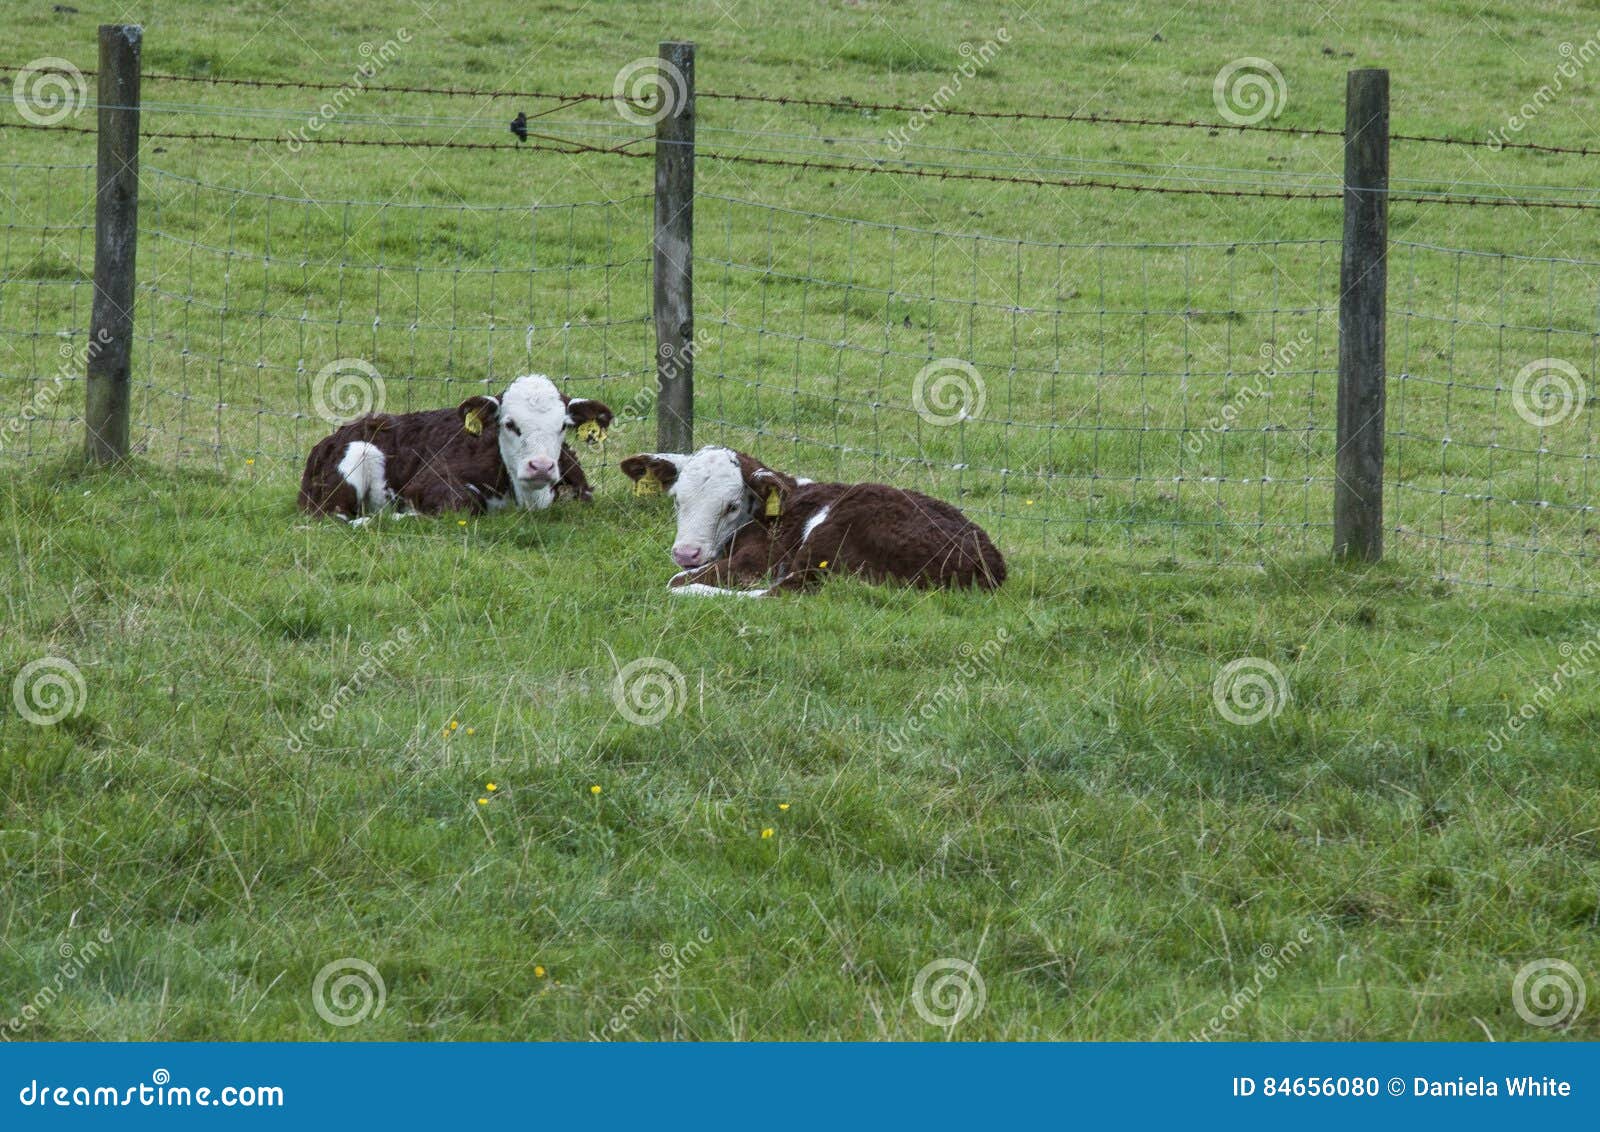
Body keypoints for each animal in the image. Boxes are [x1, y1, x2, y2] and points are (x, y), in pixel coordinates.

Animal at [298, 374, 613, 521]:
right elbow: (463, 502)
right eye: (509, 424)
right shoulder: (426, 482)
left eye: (562, 426)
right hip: (350, 463)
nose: (541, 466)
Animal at [619, 447, 1006, 595]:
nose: (687, 553)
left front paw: (689, 580)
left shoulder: (759, 559)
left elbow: (677, 578)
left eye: (731, 506)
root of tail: (988, 563)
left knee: (782, 592)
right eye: (677, 500)